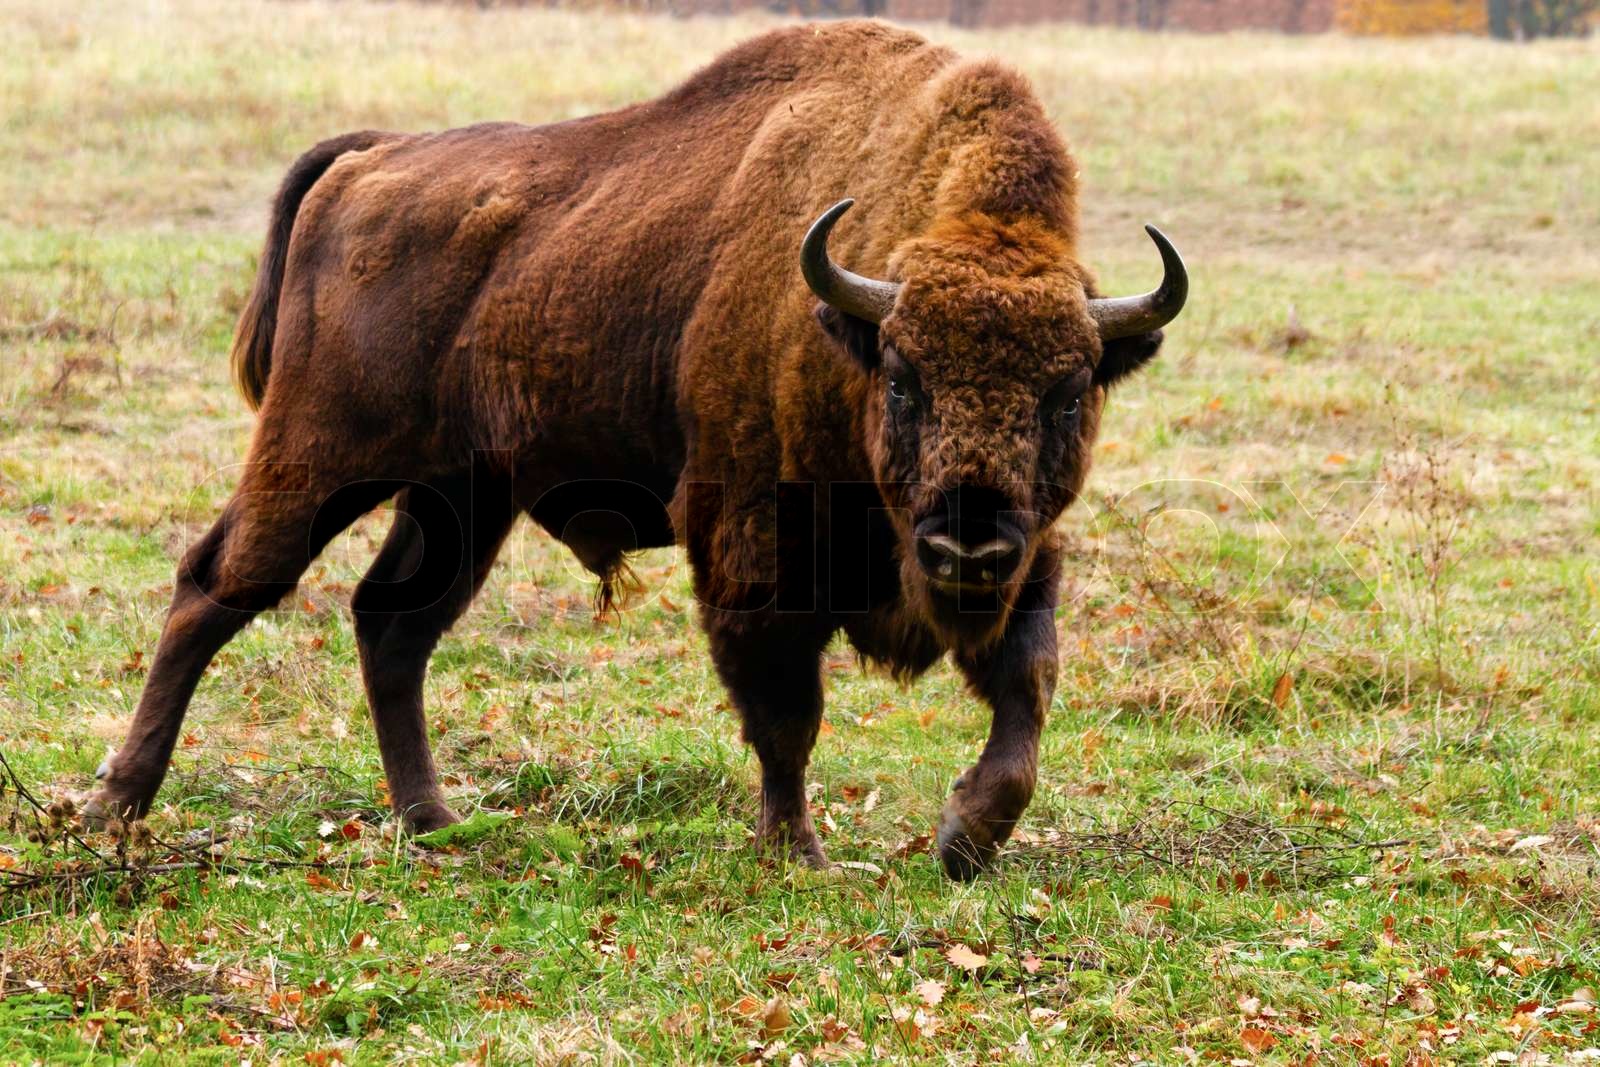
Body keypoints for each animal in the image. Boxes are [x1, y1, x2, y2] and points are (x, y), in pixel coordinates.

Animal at [84, 20, 1186, 879]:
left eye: (1069, 390)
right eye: (904, 375)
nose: (966, 546)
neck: (847, 318)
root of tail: (371, 159)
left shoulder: (1030, 561)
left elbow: (1025, 692)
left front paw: (966, 837)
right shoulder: (752, 550)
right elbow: (787, 710)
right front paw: (800, 853)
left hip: (460, 496)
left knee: (390, 624)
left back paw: (435, 821)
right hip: (320, 458)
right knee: (216, 586)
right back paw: (116, 803)